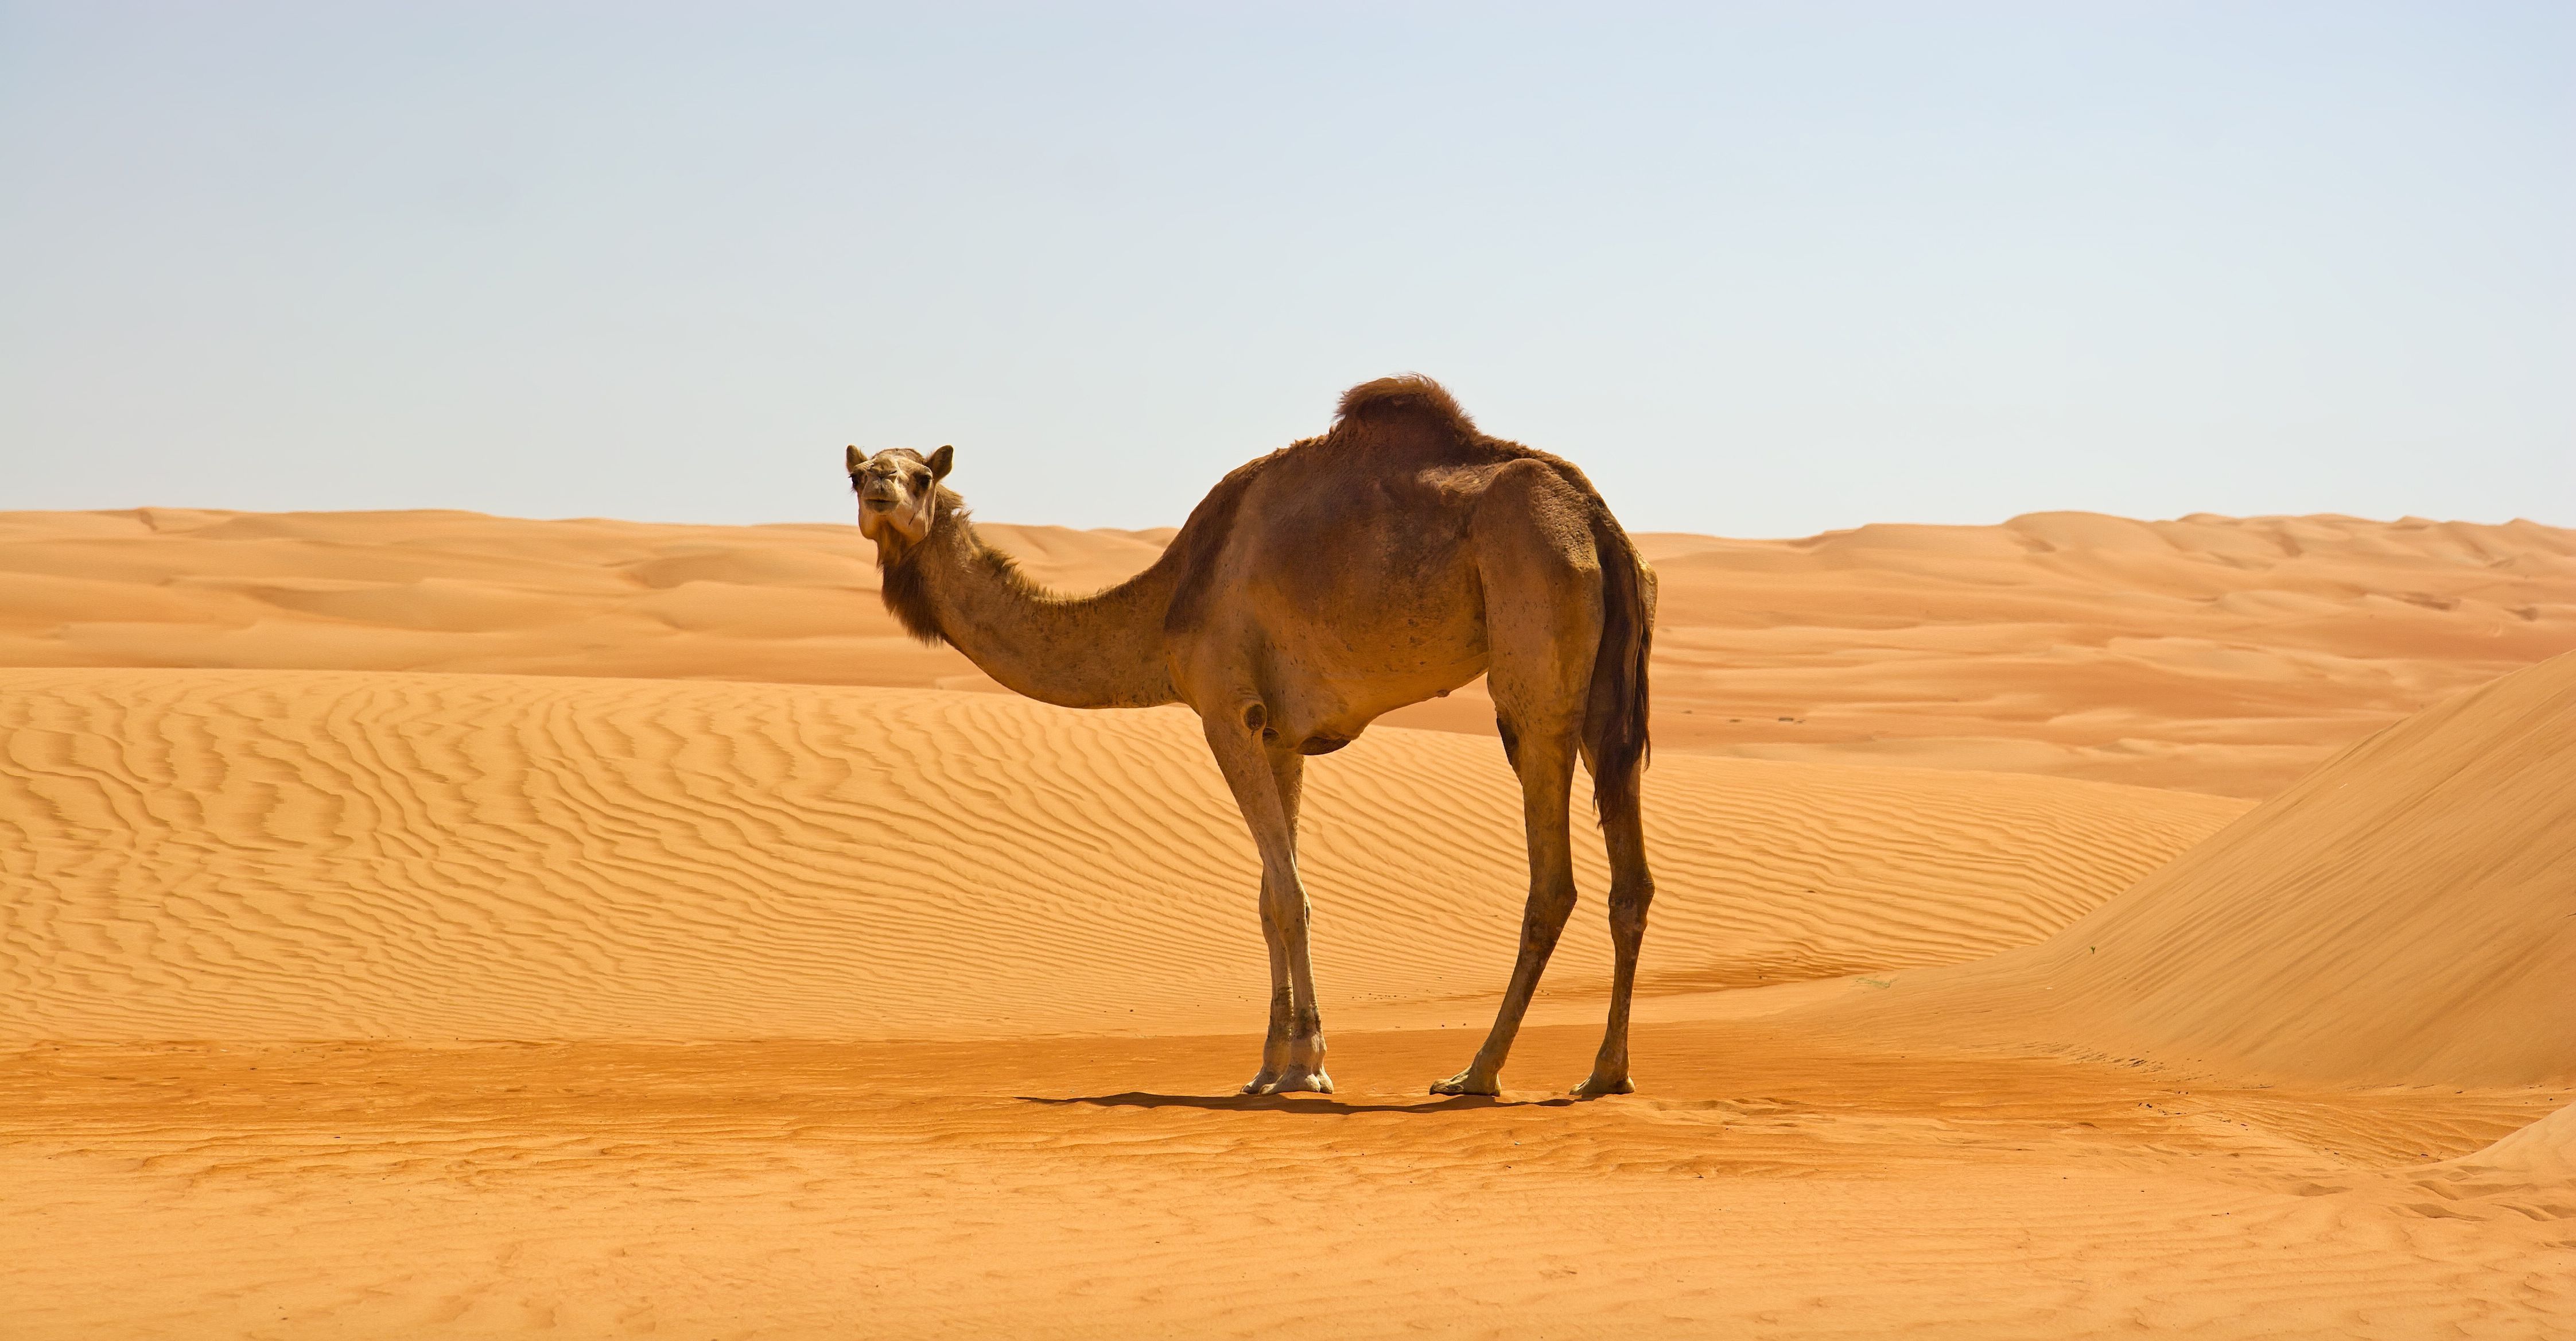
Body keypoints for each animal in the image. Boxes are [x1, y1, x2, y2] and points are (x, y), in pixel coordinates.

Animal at [845, 375, 1655, 1098]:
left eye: (921, 475)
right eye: (855, 473)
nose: (880, 490)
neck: (1168, 603)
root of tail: (1595, 518)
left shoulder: (1224, 709)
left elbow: (1290, 893)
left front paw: (1308, 1067)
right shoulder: (1282, 736)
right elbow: (1269, 898)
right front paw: (1271, 1064)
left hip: (1533, 626)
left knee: (1551, 876)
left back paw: (1476, 1072)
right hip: (1605, 687)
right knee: (1631, 876)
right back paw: (1604, 1072)